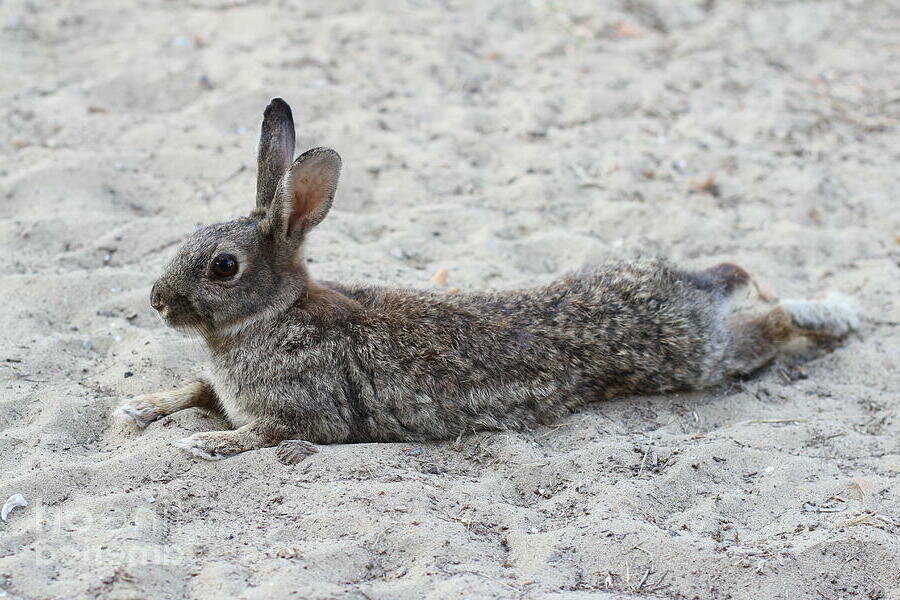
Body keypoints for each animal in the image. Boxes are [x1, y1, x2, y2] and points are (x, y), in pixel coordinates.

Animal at [116, 98, 860, 464]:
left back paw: (833, 316)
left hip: (694, 359)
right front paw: (138, 408)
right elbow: (193, 389)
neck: (273, 315)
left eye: (223, 266)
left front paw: (206, 444)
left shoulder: (308, 412)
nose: (156, 302)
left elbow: (264, 435)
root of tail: (687, 286)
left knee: (768, 325)